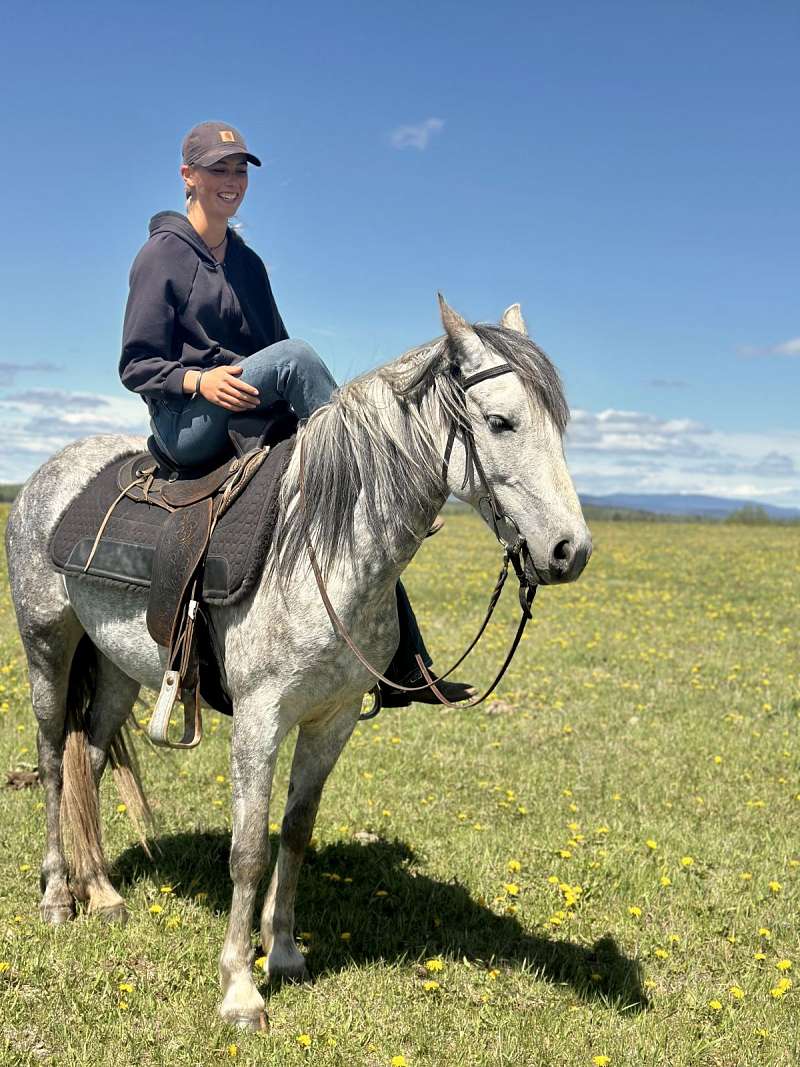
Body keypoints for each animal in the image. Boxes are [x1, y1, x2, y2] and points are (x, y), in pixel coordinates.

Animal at [5, 297, 592, 1030]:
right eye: (500, 422)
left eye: (560, 424)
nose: (570, 550)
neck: (323, 544)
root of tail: (47, 476)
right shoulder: (260, 720)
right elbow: (249, 849)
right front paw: (238, 986)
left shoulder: (331, 719)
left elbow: (296, 832)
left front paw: (282, 952)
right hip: (46, 645)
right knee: (54, 760)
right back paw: (58, 895)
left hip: (115, 665)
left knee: (88, 756)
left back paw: (104, 892)